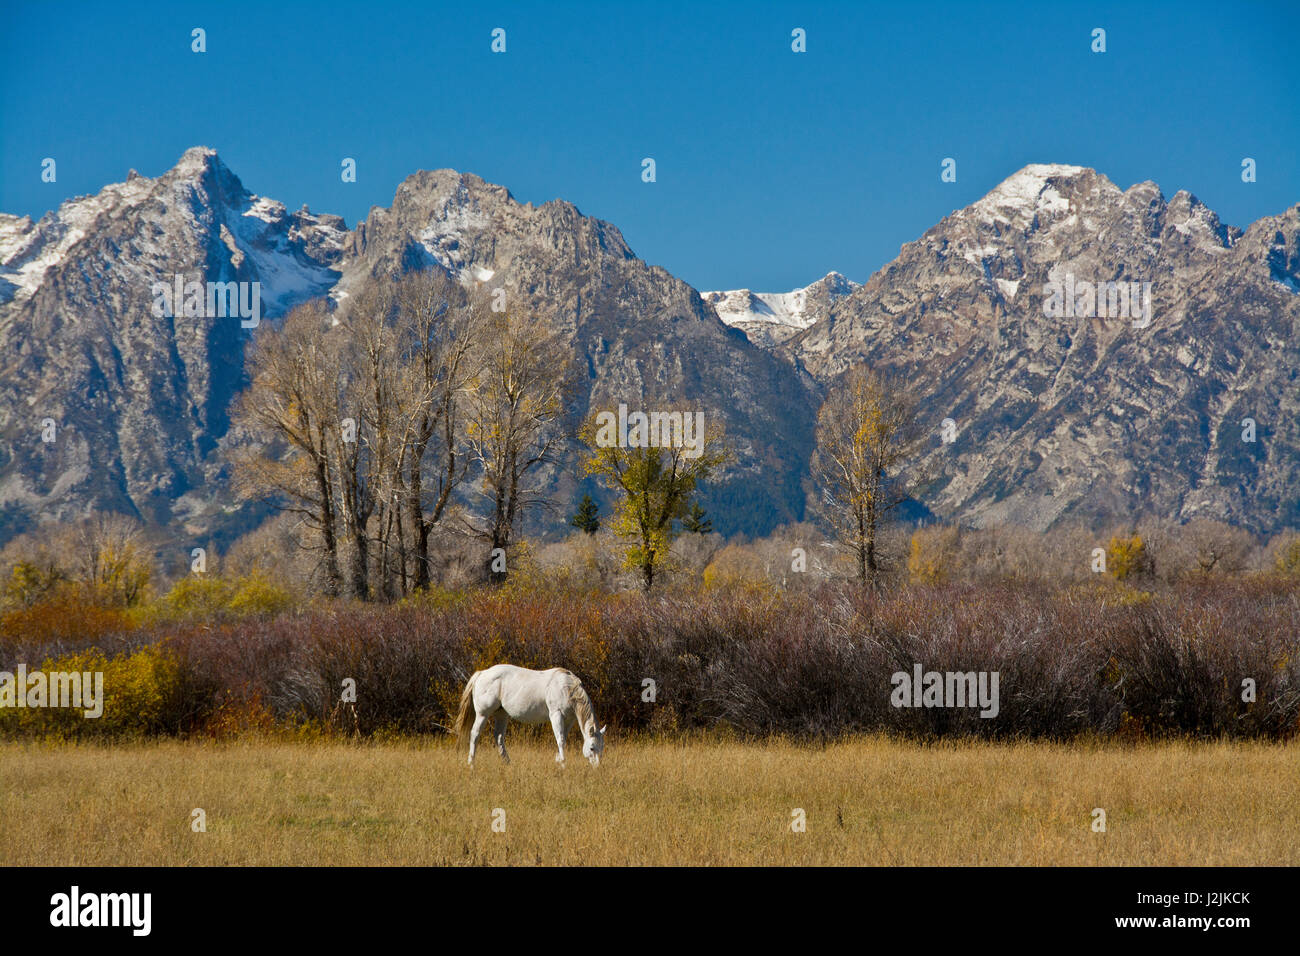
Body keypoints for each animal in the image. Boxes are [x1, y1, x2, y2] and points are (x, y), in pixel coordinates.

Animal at [454, 664, 606, 767]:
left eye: (602, 747)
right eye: (592, 748)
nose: (597, 767)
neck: (566, 687)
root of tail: (481, 673)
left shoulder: (569, 720)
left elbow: (562, 739)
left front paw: (558, 760)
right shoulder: (556, 715)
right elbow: (560, 739)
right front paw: (563, 763)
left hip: (502, 714)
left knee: (499, 737)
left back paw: (507, 763)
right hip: (482, 714)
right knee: (475, 734)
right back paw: (471, 763)